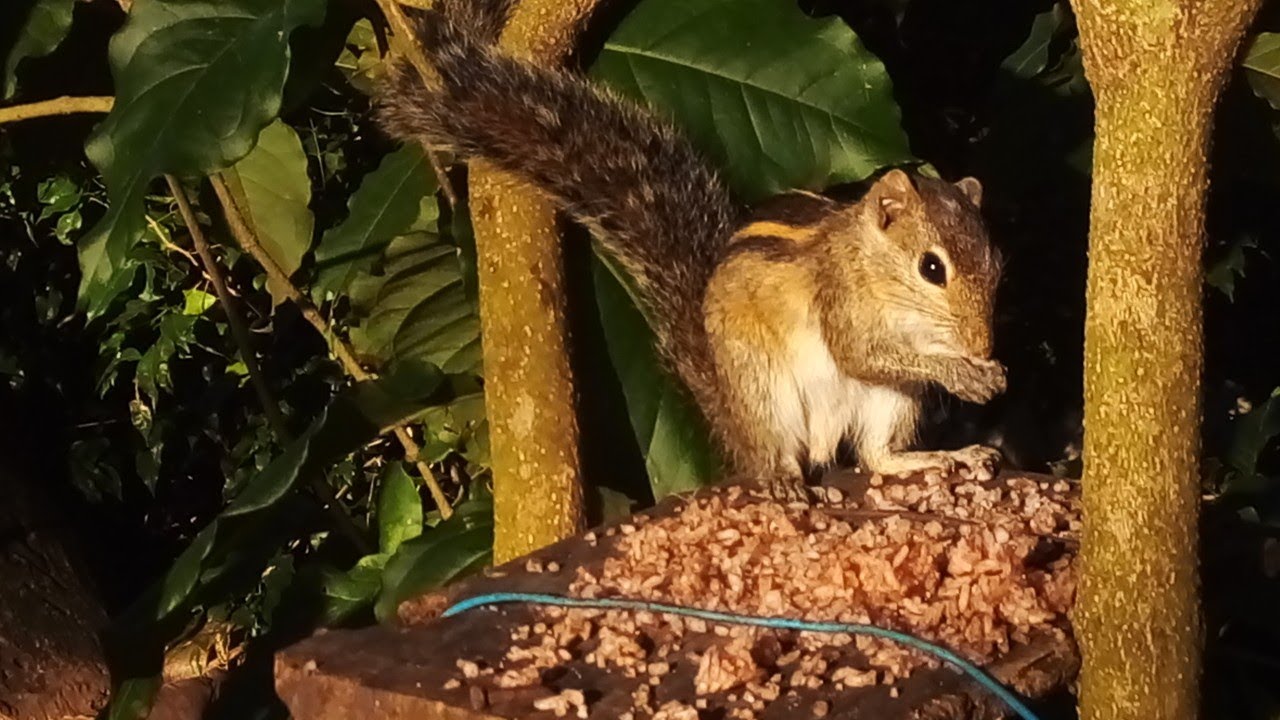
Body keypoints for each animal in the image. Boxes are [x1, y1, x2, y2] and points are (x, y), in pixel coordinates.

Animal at [375, 0, 1007, 489]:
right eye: (931, 267)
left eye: (998, 264)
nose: (982, 343)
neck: (875, 269)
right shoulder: (842, 304)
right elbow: (863, 354)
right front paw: (966, 373)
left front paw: (983, 369)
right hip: (764, 392)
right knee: (784, 454)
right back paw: (785, 478)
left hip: (889, 404)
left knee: (877, 457)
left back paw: (937, 459)